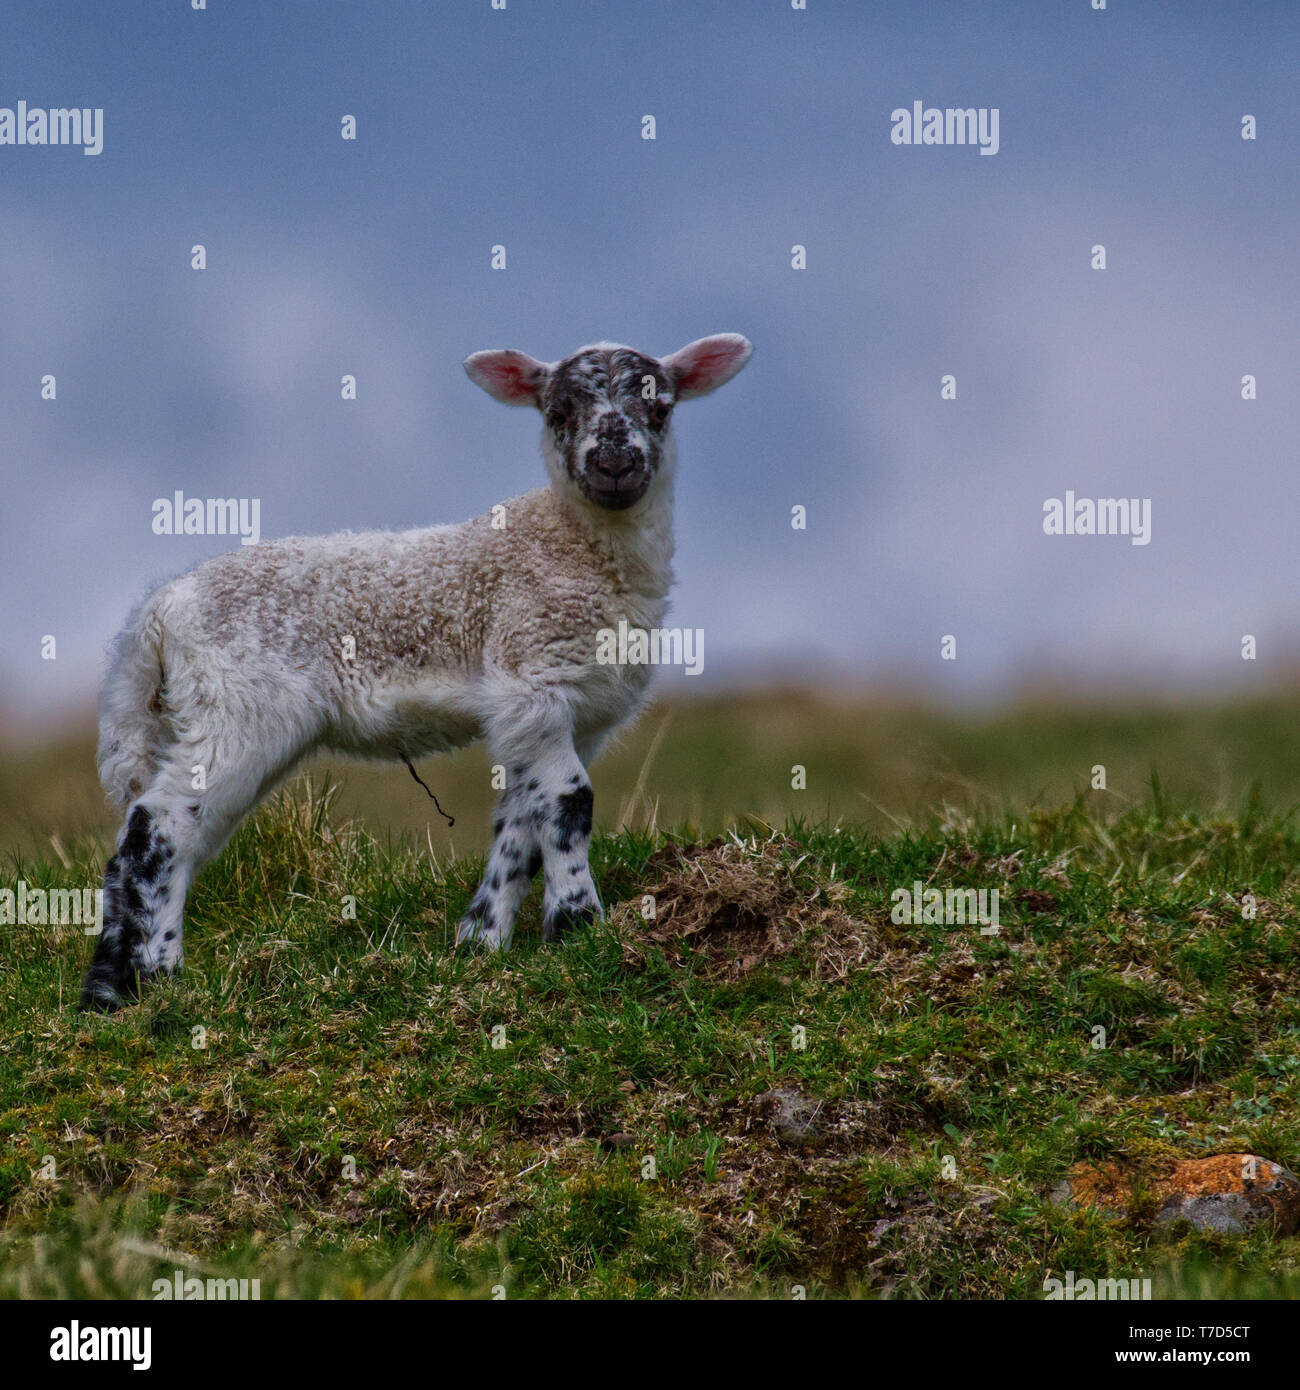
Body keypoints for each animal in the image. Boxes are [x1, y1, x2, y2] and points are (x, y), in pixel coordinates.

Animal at [80, 333, 753, 1010]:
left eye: (660, 408)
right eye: (558, 413)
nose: (614, 464)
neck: (575, 548)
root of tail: (160, 610)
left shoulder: (562, 714)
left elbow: (520, 822)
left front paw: (481, 938)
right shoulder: (531, 680)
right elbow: (570, 804)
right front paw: (578, 926)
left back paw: (108, 991)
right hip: (238, 706)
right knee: (159, 823)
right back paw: (160, 975)